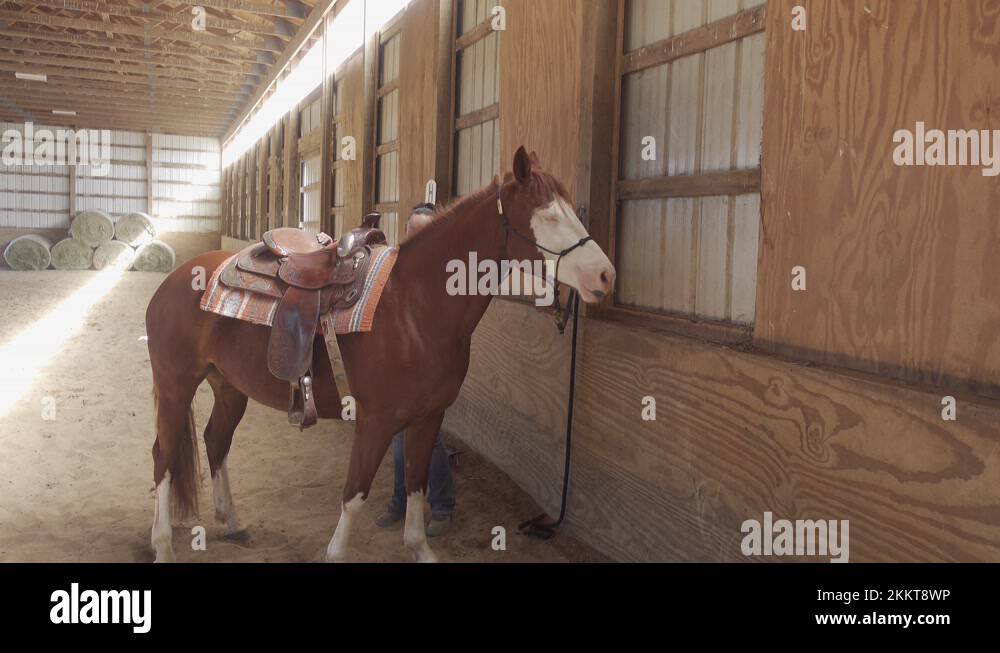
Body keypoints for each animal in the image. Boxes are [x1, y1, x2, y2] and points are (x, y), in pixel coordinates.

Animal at [145, 147, 616, 562]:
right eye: (549, 215)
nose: (606, 275)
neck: (412, 308)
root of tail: (176, 278)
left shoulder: (428, 418)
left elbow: (417, 485)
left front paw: (420, 549)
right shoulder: (375, 422)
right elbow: (354, 496)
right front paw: (336, 553)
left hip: (229, 386)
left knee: (215, 441)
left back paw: (232, 522)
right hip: (176, 386)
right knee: (164, 457)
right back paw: (163, 546)